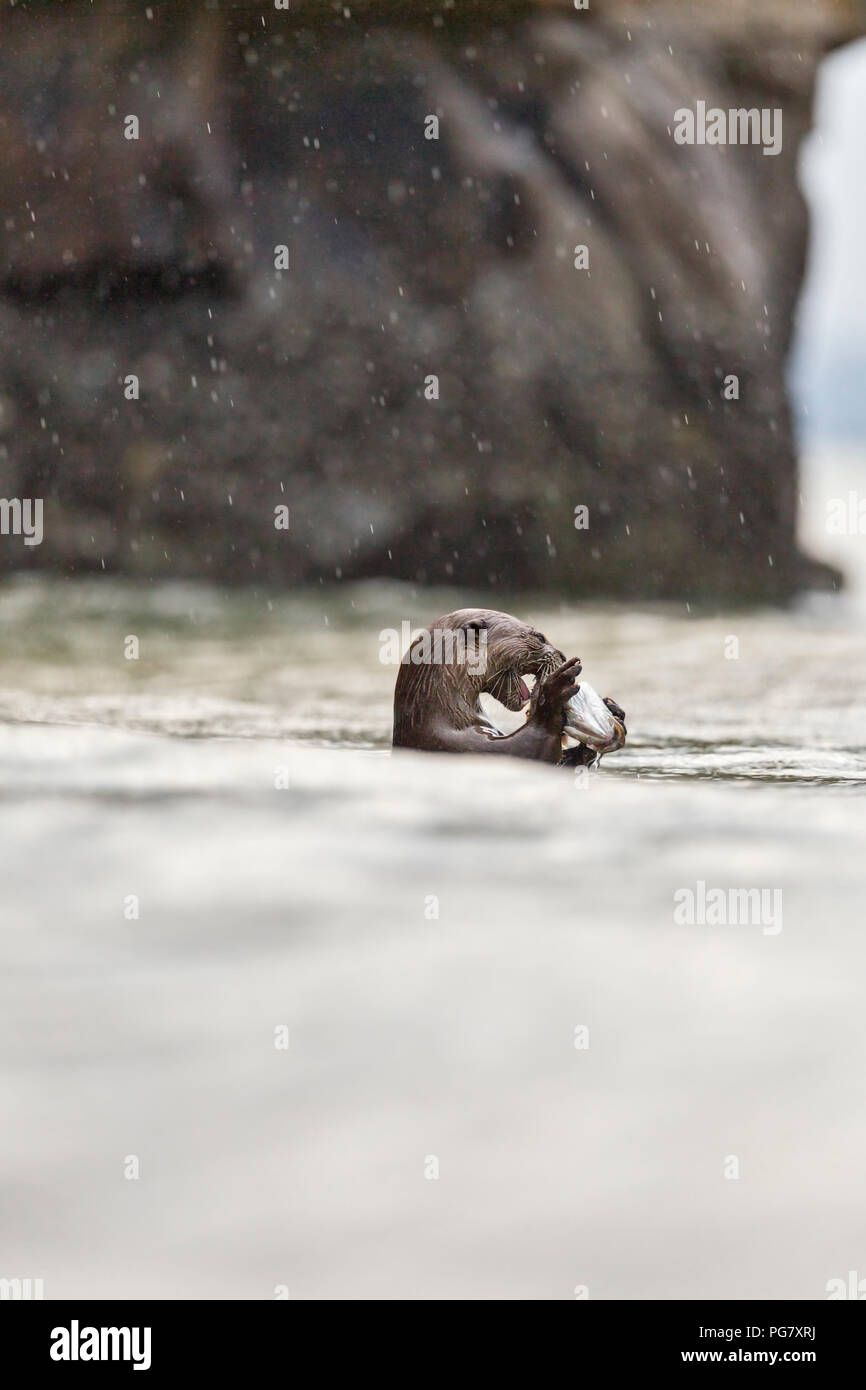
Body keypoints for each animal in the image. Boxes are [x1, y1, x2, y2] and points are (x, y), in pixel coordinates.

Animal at [392, 607, 624, 764]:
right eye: (539, 637)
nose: (564, 655)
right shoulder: (457, 746)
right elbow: (527, 749)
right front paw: (553, 693)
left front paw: (613, 709)